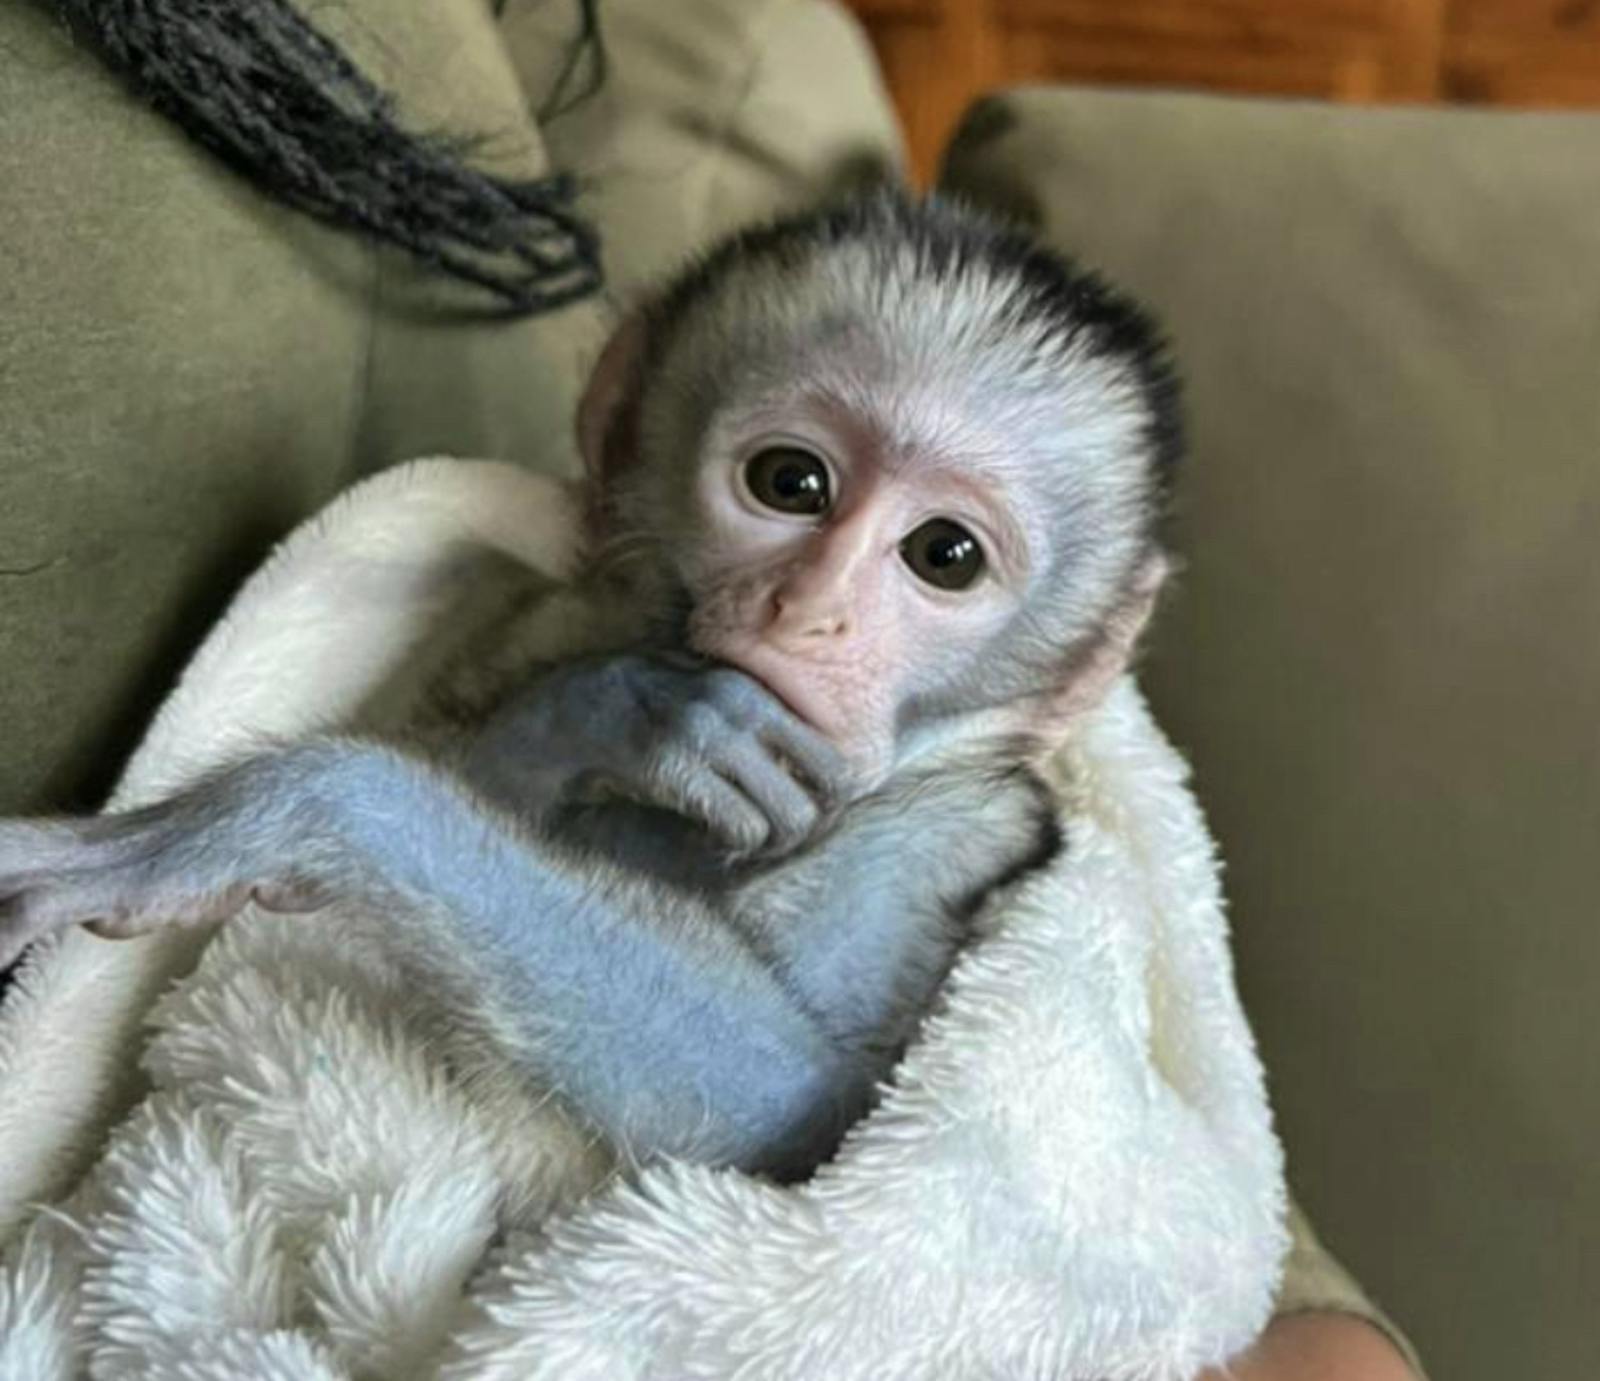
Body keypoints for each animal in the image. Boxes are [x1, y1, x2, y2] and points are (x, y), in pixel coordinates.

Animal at [0, 193, 1179, 1181]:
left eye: (945, 555)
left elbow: (805, 1111)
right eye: (791, 481)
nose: (805, 611)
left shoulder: (938, 837)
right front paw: (620, 715)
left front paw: (271, 814)